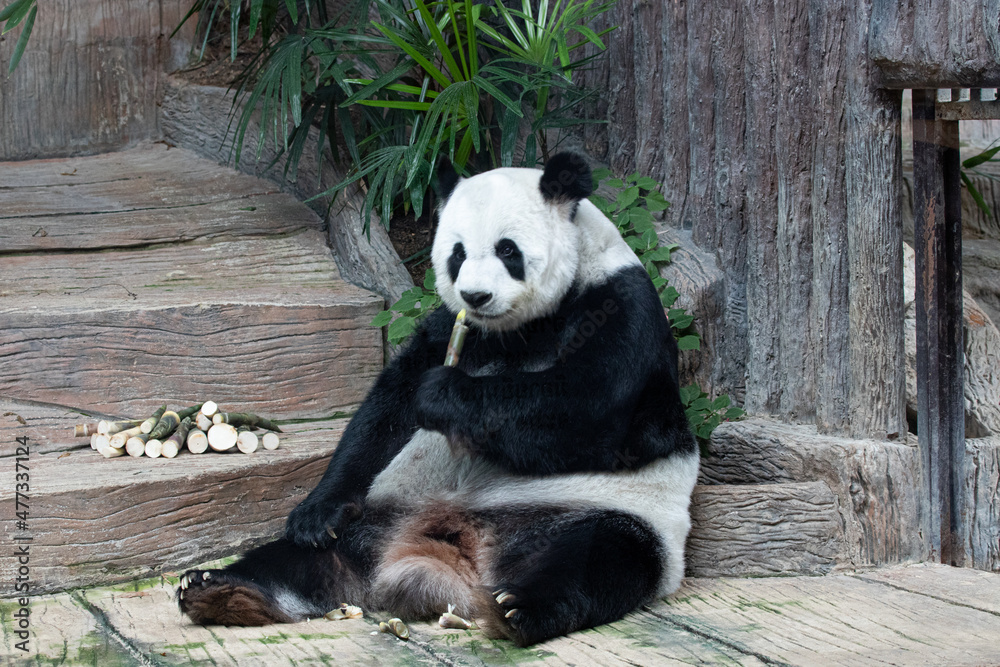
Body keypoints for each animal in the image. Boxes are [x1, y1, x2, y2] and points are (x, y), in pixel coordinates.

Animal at [177, 152, 699, 647]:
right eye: (457, 253)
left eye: (507, 250)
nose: (477, 294)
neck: (521, 327)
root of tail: (449, 557)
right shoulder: (452, 324)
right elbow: (387, 407)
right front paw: (315, 513)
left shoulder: (620, 306)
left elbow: (595, 411)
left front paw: (444, 394)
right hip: (382, 514)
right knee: (305, 559)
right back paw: (222, 591)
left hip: (603, 513)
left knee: (595, 558)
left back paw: (518, 608)